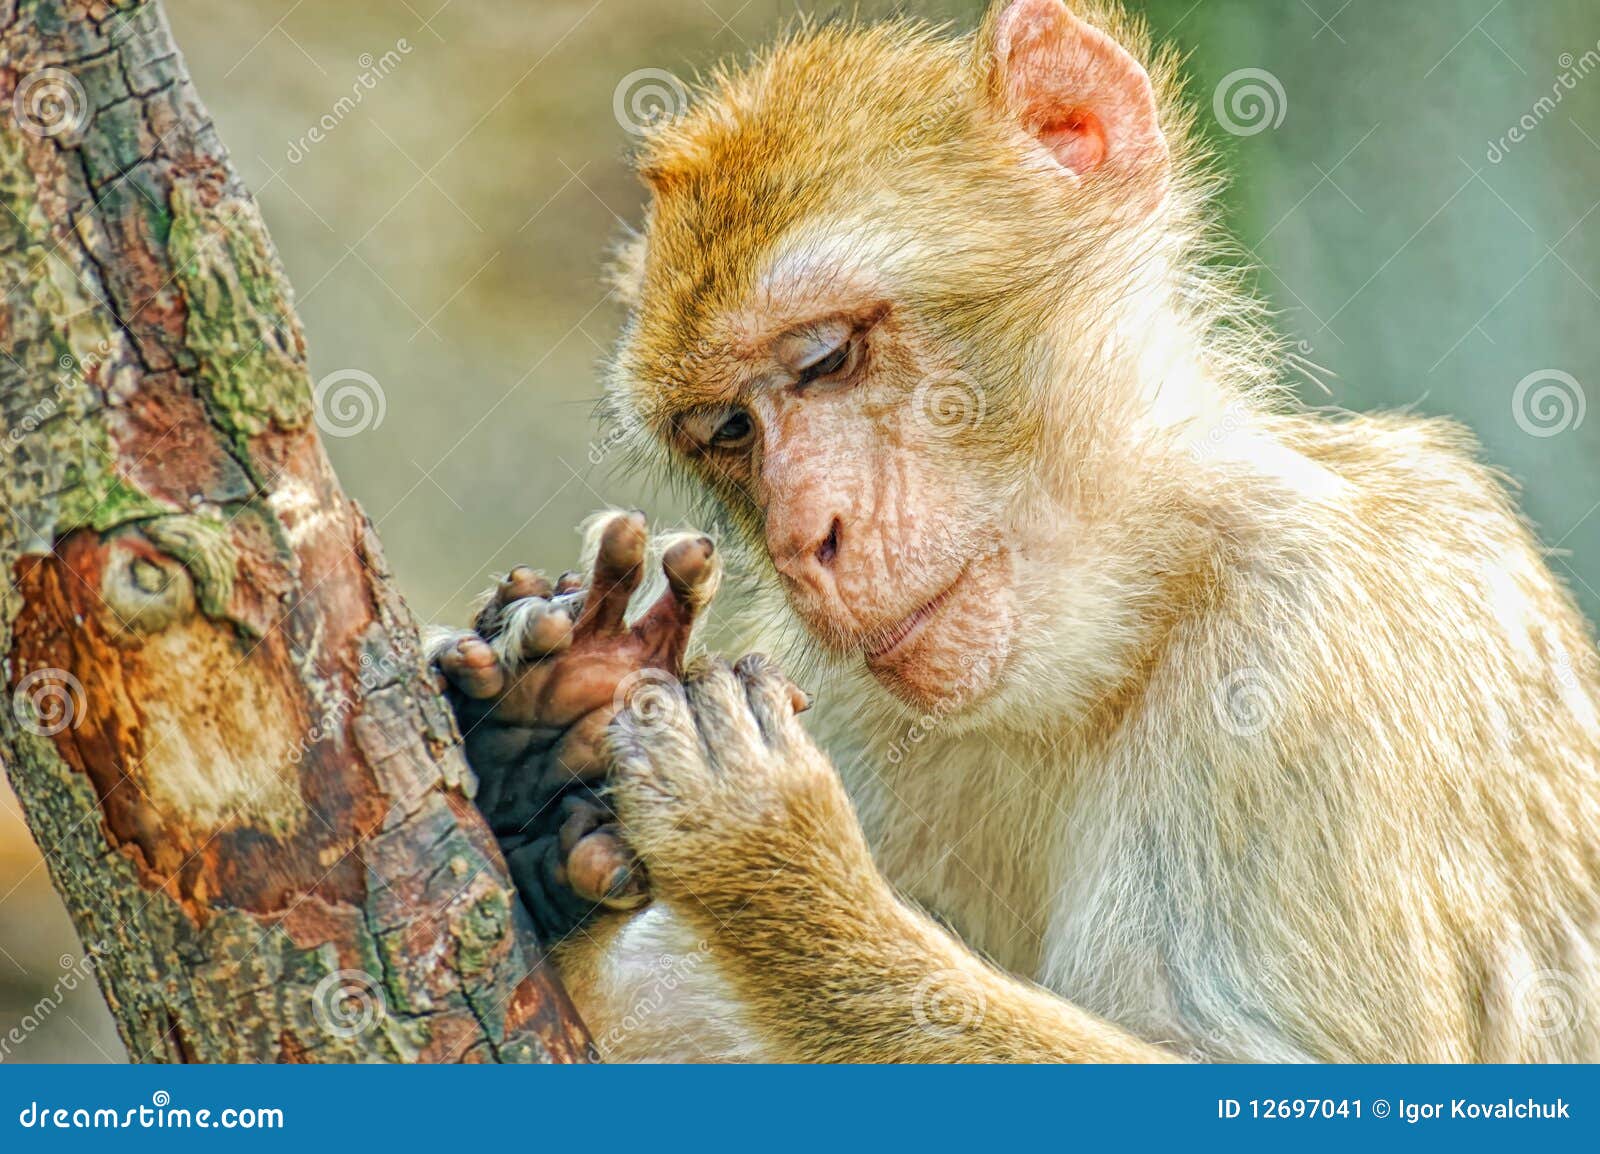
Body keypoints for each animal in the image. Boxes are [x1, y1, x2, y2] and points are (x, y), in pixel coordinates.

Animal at [429, 0, 1600, 1062]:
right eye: (728, 431)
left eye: (823, 359)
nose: (808, 539)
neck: (1129, 621)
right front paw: (542, 738)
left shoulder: (1305, 645)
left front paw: (776, 869)